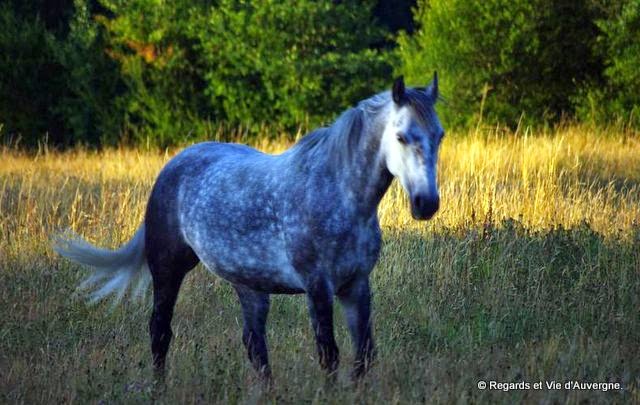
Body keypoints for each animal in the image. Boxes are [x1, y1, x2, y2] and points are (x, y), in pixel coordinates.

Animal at [53, 74, 444, 381]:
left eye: (438, 135)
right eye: (401, 136)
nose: (426, 204)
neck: (338, 193)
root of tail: (173, 165)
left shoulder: (356, 285)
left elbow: (363, 356)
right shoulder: (318, 285)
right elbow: (329, 354)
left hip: (250, 286)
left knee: (255, 346)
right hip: (167, 269)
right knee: (160, 332)